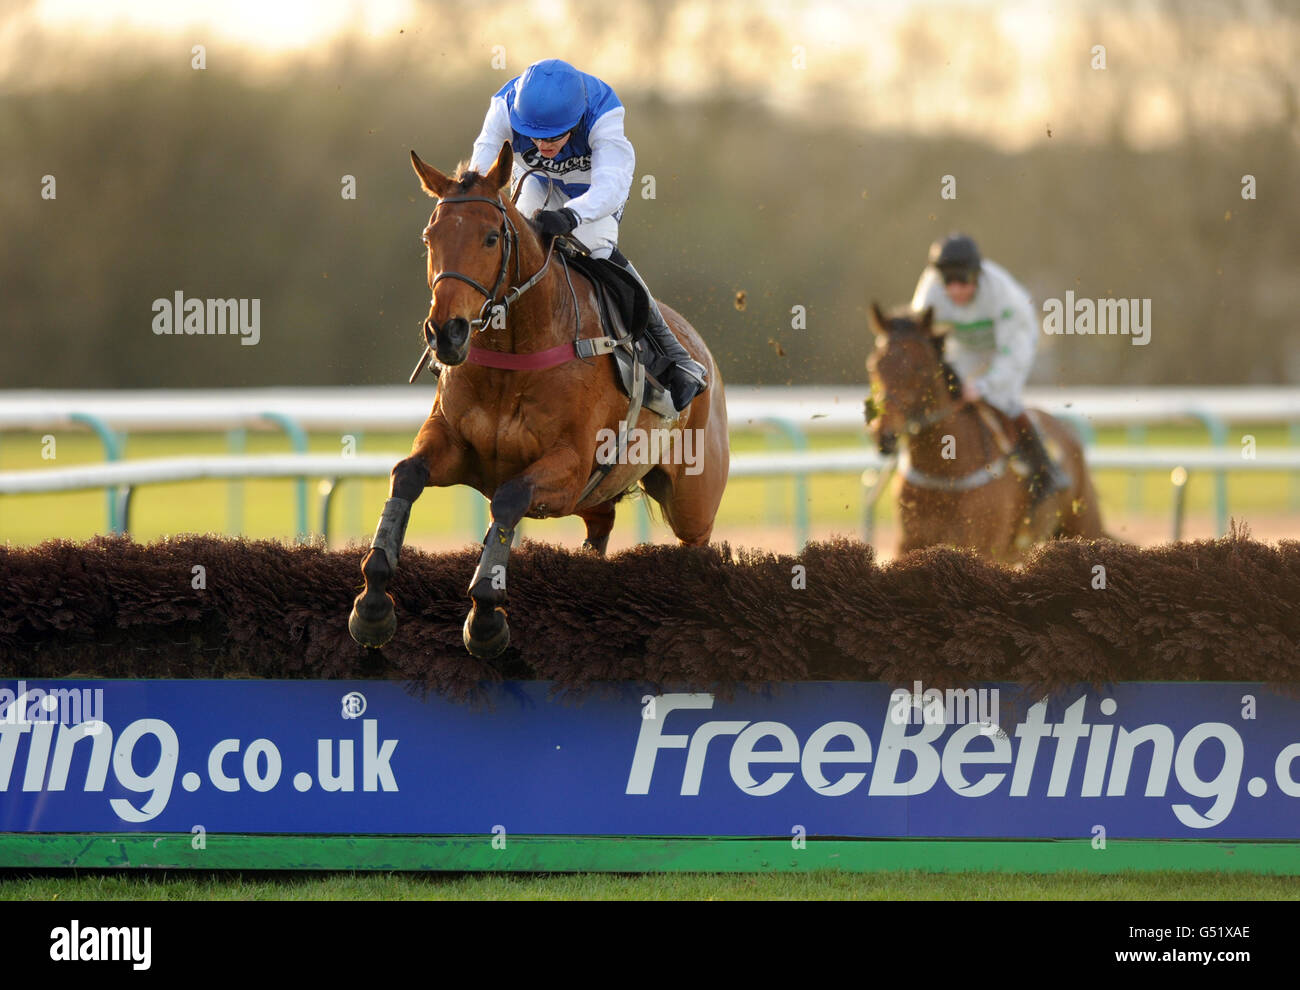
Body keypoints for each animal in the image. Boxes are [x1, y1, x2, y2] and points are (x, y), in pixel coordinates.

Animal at [348, 141, 729, 659]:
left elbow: (508, 499)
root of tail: (703, 352)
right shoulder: (455, 444)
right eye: (430, 237)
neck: (515, 355)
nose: (446, 332)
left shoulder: (569, 466)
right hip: (598, 500)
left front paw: (486, 614)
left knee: (697, 545)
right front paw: (372, 602)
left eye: (491, 238)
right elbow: (405, 475)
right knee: (600, 529)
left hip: (694, 501)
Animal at [866, 303, 1105, 562]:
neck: (945, 475)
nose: (884, 434)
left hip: (1084, 523)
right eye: (874, 365)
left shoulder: (982, 546)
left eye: (920, 367)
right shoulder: (908, 543)